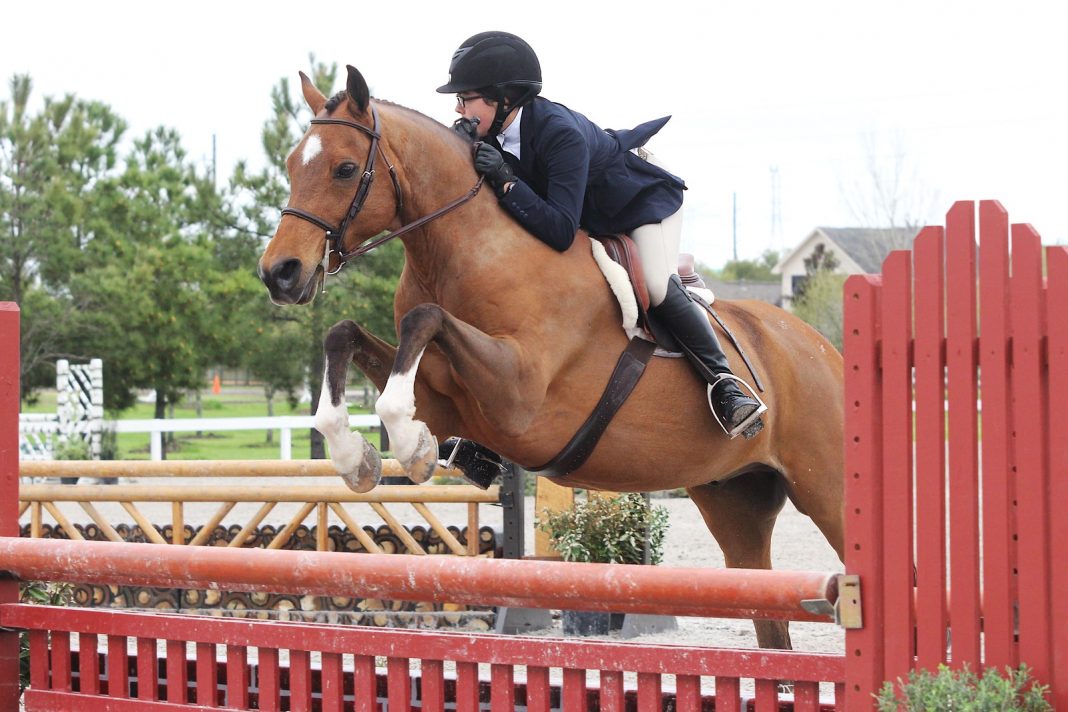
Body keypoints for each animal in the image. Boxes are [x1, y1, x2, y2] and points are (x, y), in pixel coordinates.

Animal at [258, 65, 845, 650]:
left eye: (345, 168)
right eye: (290, 164)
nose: (279, 273)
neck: (468, 250)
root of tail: (821, 347)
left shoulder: (519, 395)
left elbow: (424, 319)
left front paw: (412, 447)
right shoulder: (447, 399)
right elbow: (344, 333)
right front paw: (355, 454)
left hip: (824, 489)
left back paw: (735, 399)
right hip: (732, 498)